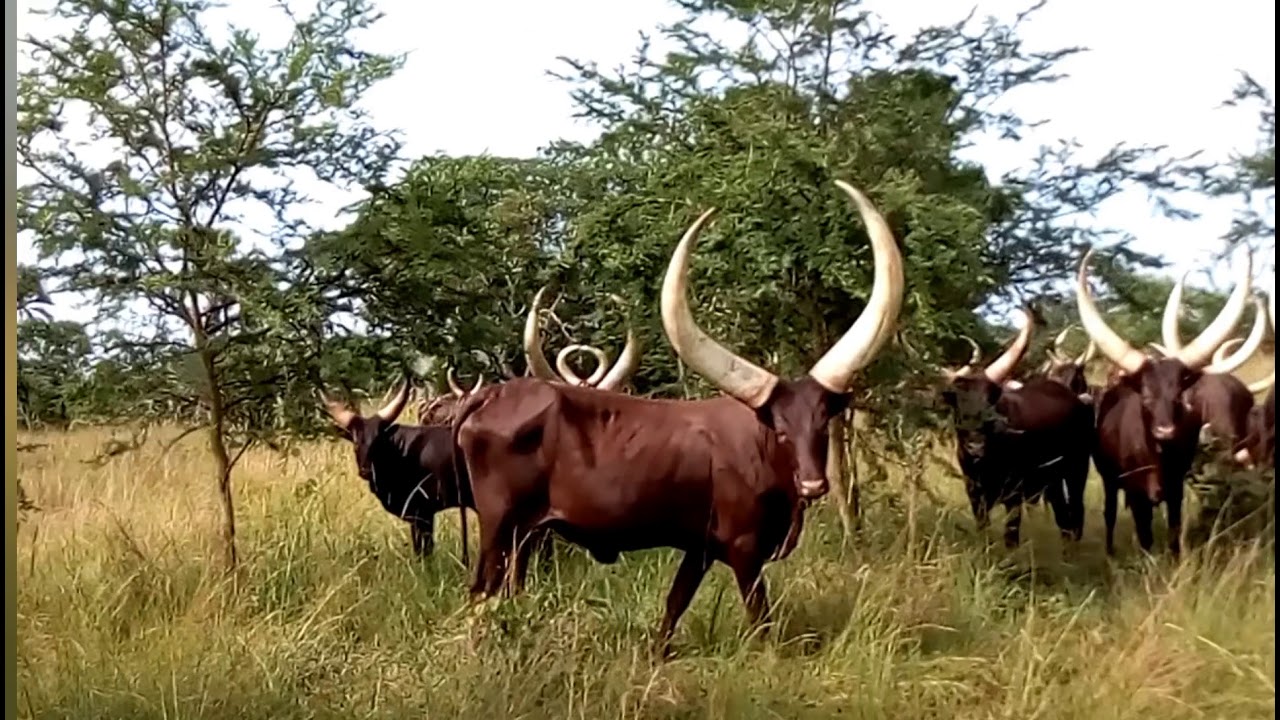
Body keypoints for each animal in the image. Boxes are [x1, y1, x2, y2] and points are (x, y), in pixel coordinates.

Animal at [450, 180, 904, 653]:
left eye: (821, 423)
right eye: (780, 428)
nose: (814, 485)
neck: (759, 451)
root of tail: (491, 395)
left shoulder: (699, 548)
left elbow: (675, 604)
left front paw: (656, 654)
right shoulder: (744, 549)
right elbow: (760, 618)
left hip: (524, 536)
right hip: (499, 528)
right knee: (481, 592)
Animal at [940, 308, 1095, 548]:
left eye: (990, 400)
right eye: (958, 402)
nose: (975, 447)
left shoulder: (1014, 494)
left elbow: (1011, 536)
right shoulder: (975, 492)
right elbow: (983, 530)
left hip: (1077, 469)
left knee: (1076, 510)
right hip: (1052, 482)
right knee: (1062, 515)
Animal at [1076, 246, 1253, 557]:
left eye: (1180, 396)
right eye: (1146, 396)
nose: (1165, 431)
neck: (1157, 455)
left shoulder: (1175, 489)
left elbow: (1173, 531)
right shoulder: (1136, 493)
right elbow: (1145, 534)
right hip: (1109, 479)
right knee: (1110, 514)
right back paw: (1110, 551)